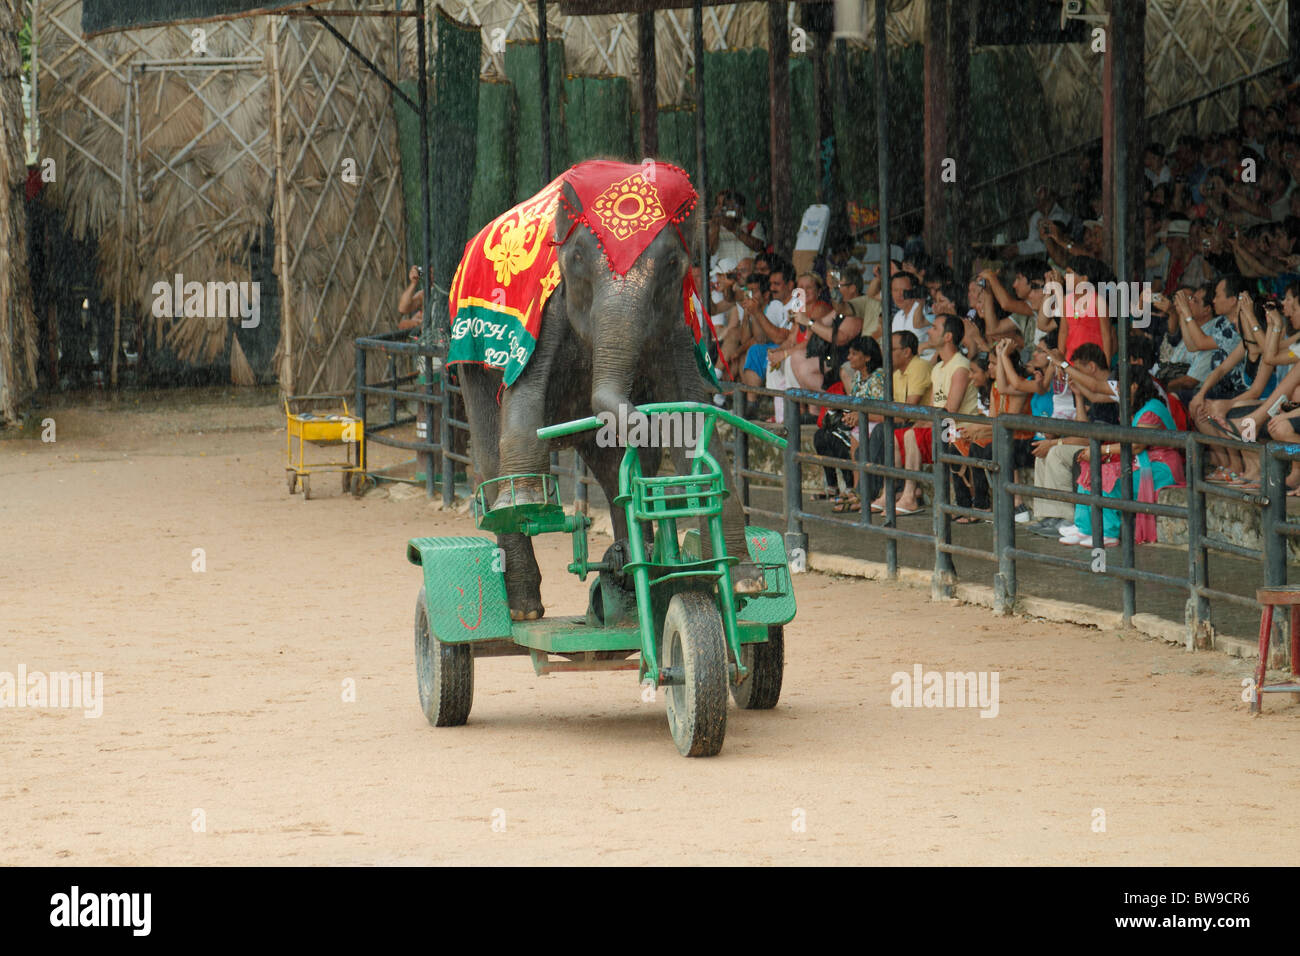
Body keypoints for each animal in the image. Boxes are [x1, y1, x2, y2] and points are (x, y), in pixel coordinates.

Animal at [452, 168, 765, 621]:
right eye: (578, 259)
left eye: (674, 264)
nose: (642, 416)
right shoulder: (541, 312)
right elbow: (522, 393)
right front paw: (527, 501)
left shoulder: (677, 320)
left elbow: (694, 416)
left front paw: (745, 582)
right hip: (470, 362)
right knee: (489, 456)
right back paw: (525, 608)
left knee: (612, 465)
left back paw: (628, 567)